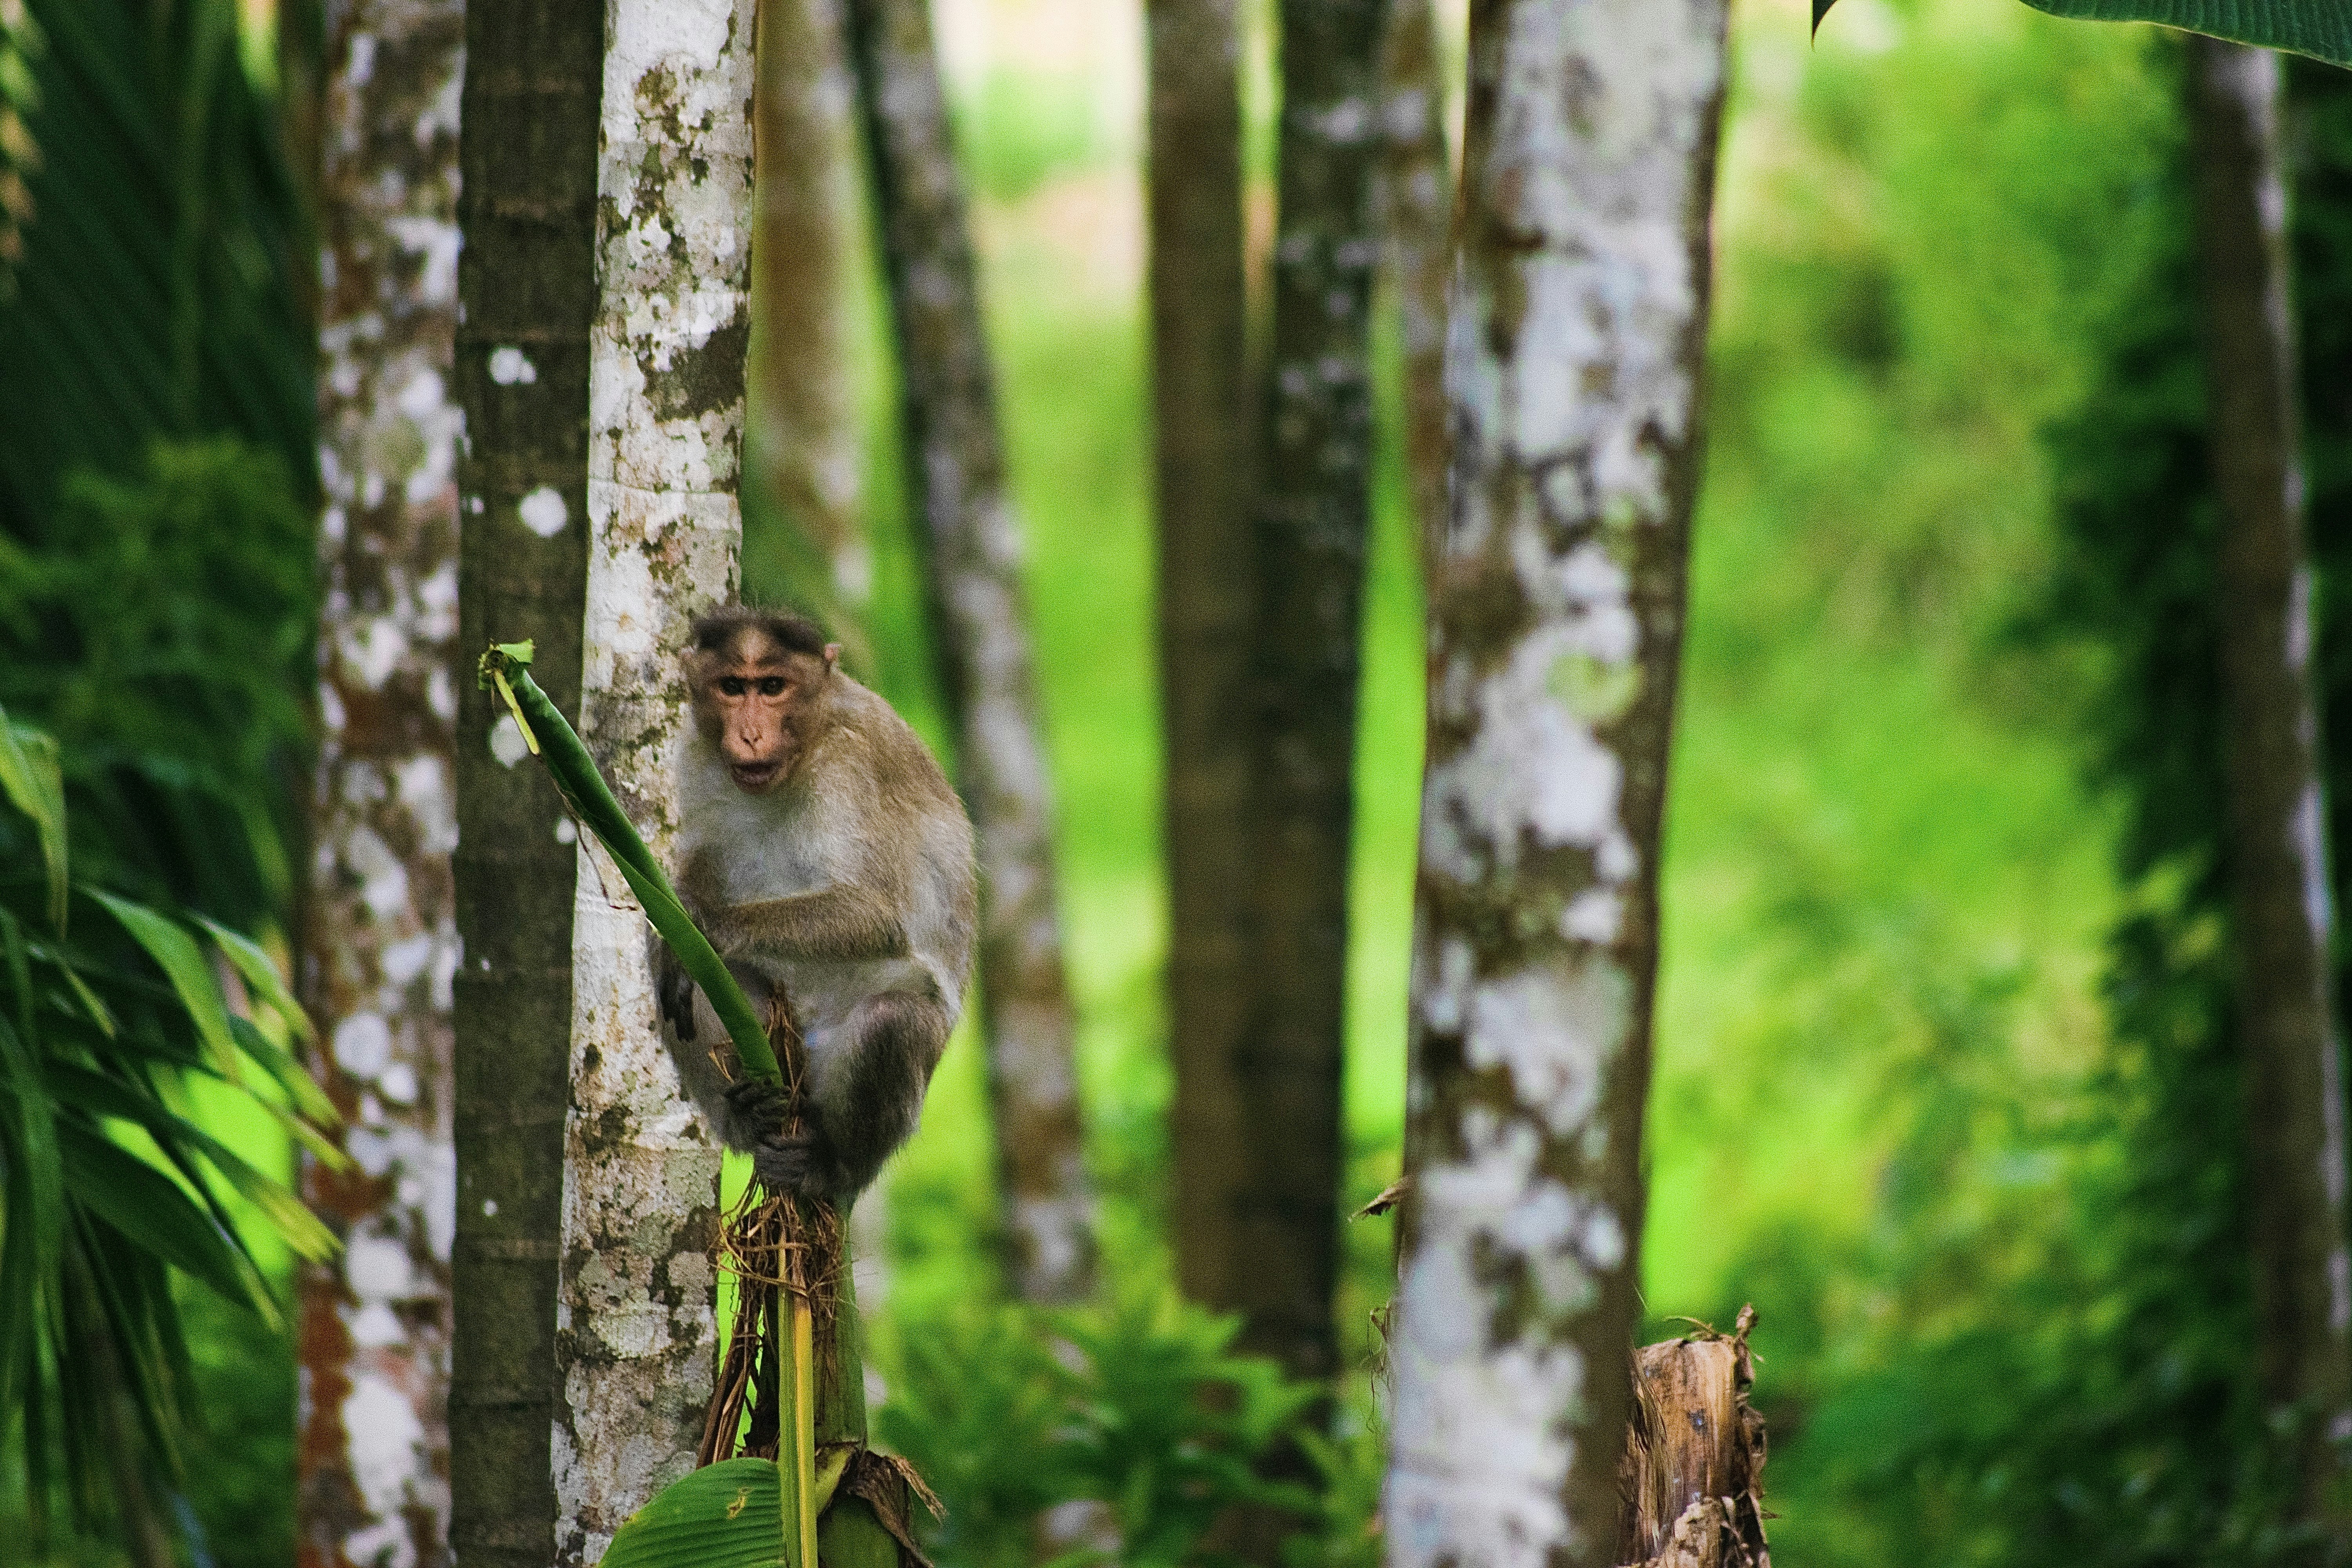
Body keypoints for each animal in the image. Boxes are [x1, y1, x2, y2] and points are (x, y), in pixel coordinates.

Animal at [657, 605, 976, 1205]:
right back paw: (751, 1116)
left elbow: (876, 914)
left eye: (773, 687)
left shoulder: (851, 763)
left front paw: (707, 926)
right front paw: (682, 920)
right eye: (732, 687)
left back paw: (832, 1169)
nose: (751, 733)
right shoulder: (693, 750)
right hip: (767, 1035)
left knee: (892, 1019)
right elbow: (696, 865)